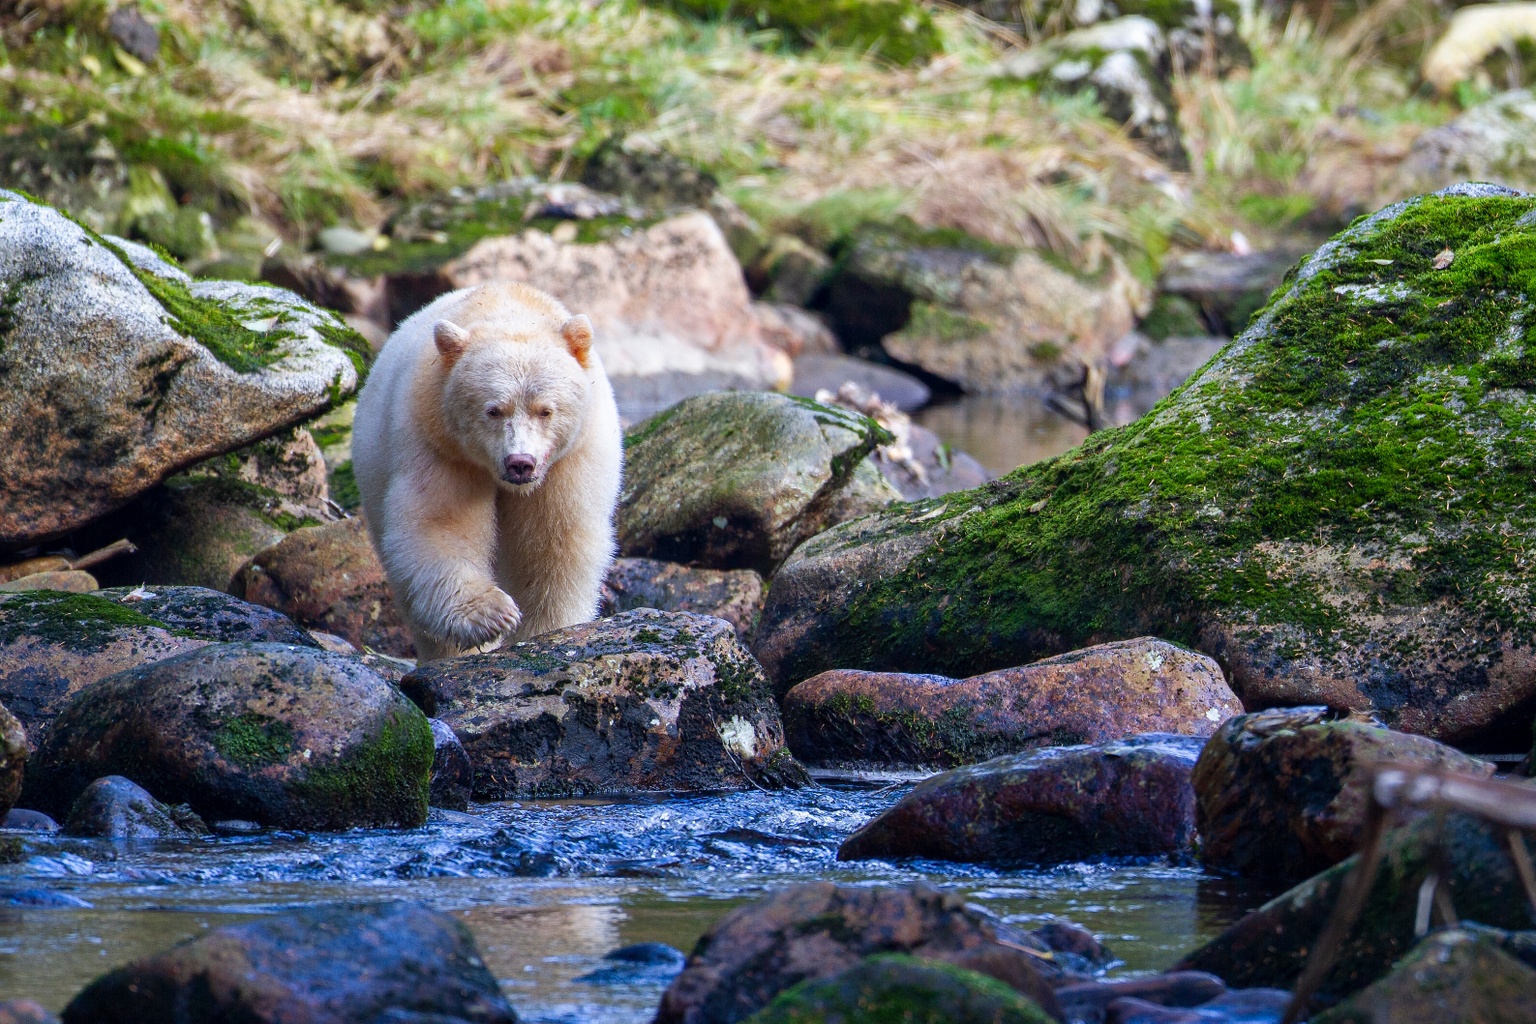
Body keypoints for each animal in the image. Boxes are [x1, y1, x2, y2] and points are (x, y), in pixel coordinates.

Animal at [352, 281, 623, 662]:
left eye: (545, 410)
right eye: (493, 410)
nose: (520, 462)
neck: (508, 305)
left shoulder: (570, 459)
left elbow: (555, 544)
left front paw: (544, 631)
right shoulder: (441, 444)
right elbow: (441, 525)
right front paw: (491, 614)